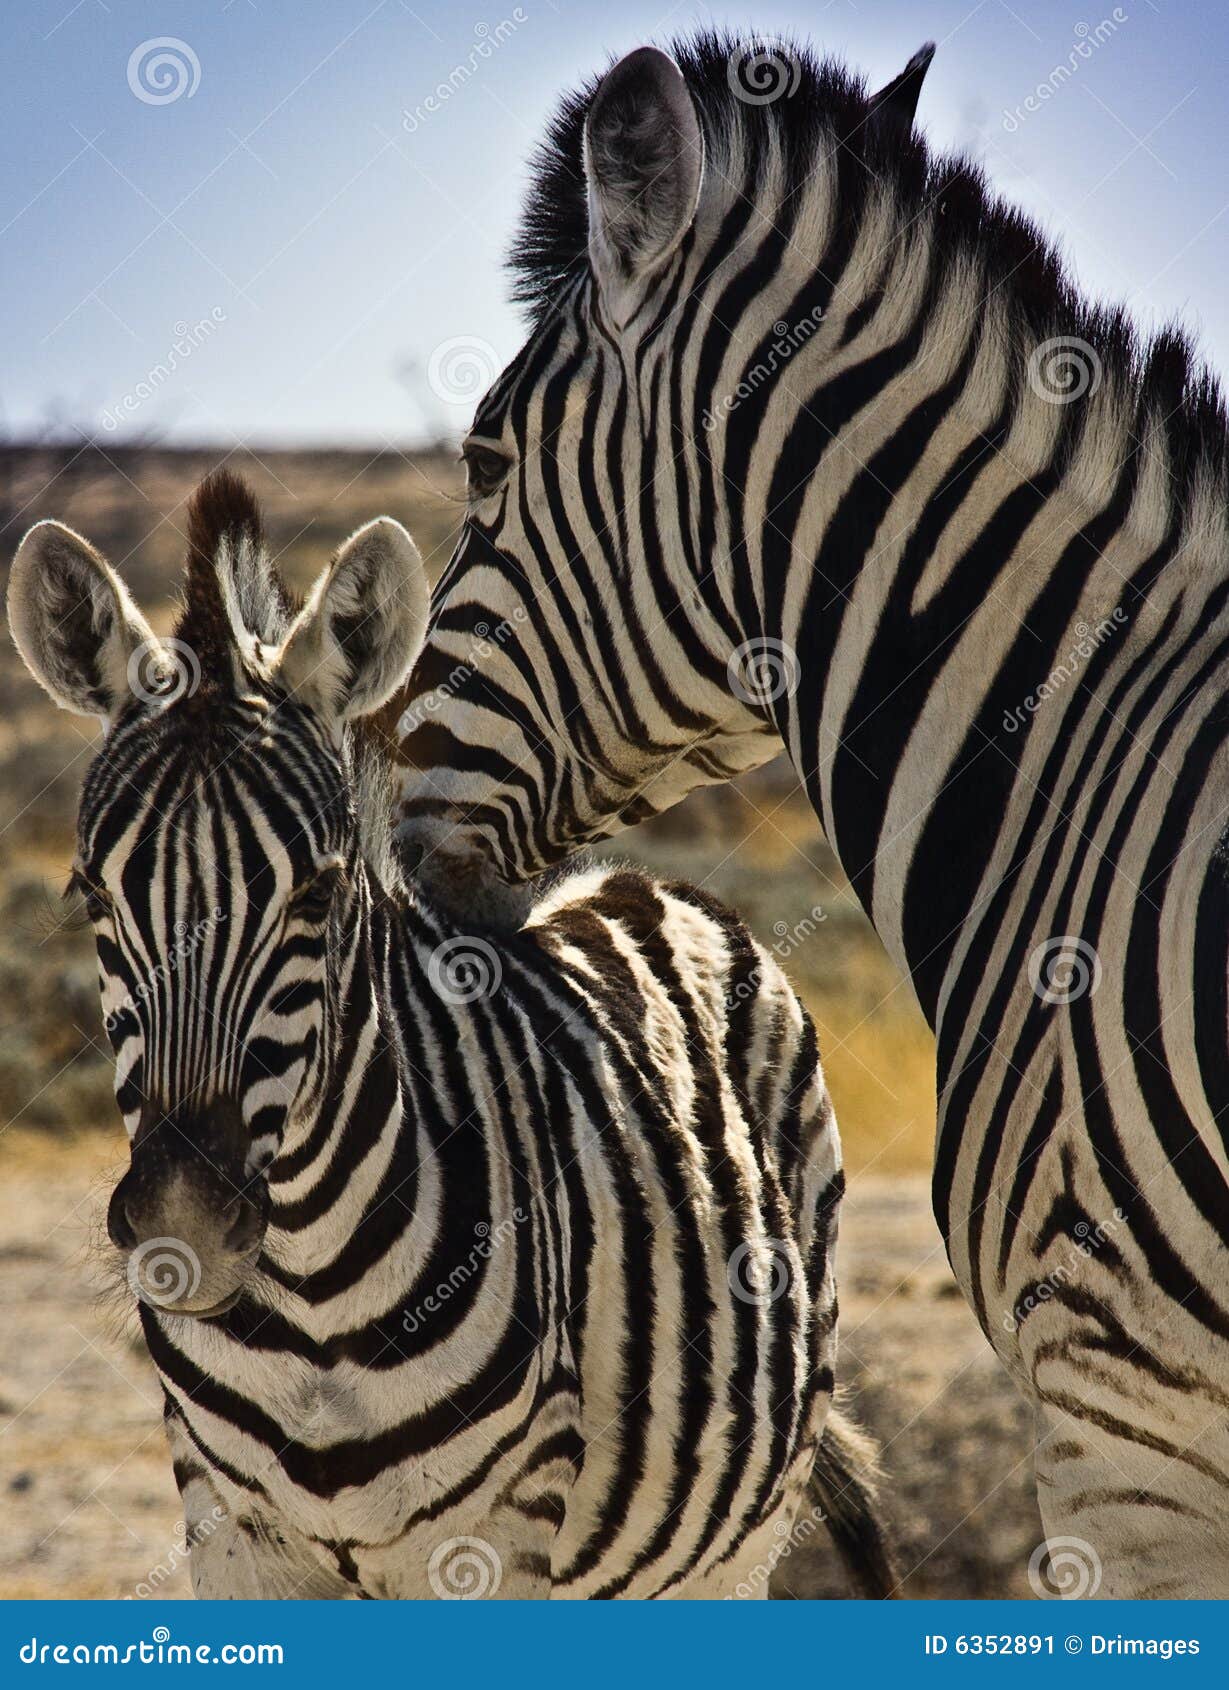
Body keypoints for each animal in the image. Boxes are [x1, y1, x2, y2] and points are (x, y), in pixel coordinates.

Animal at [6, 470, 893, 1600]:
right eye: (89, 894)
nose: (182, 1228)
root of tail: (626, 881)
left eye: (318, 894)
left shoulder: (493, 1539)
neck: (312, 1311)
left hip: (736, 1539)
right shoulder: (232, 1534)